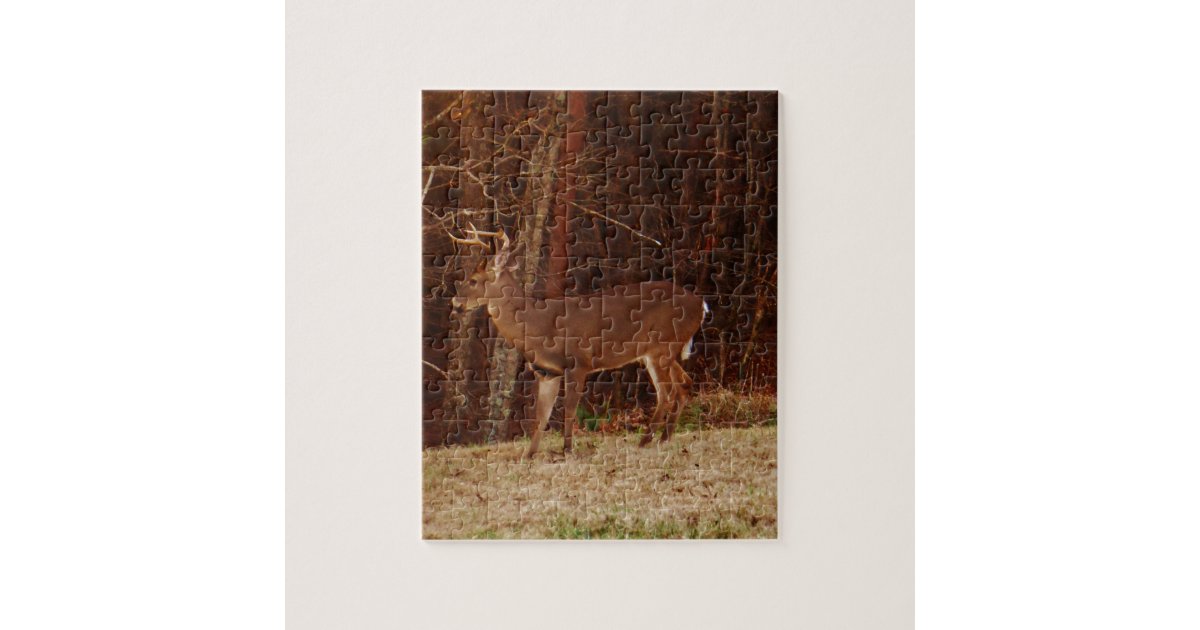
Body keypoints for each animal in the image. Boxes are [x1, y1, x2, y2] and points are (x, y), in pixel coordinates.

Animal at [448, 226, 709, 459]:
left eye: (473, 280)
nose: (455, 303)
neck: (538, 325)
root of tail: (701, 304)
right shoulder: (547, 372)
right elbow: (541, 416)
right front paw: (529, 454)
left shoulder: (578, 363)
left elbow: (569, 411)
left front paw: (567, 450)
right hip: (663, 352)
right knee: (685, 384)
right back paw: (665, 438)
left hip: (661, 347)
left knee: (667, 392)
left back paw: (645, 441)